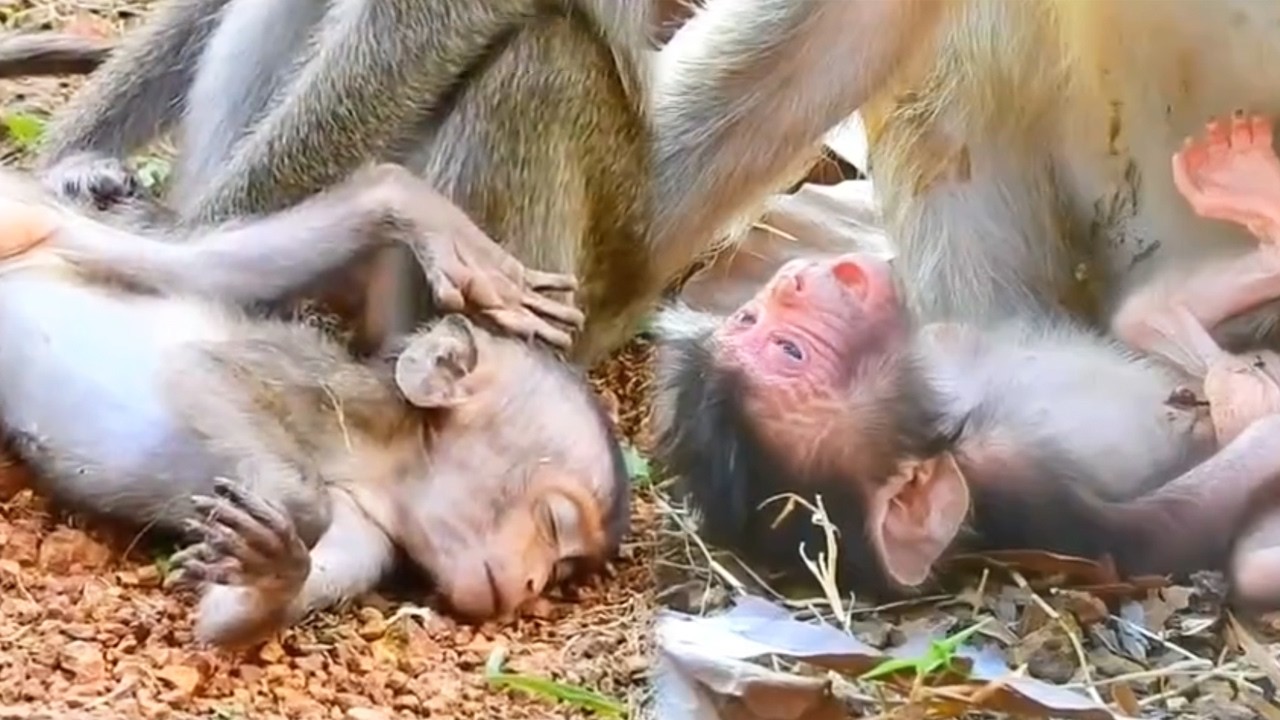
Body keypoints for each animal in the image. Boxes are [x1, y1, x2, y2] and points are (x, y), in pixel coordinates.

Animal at [0, 162, 629, 646]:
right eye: (554, 523)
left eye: (564, 568)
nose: (533, 585)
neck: (380, 475)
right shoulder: (321, 388)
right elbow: (200, 370)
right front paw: (292, 510)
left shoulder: (373, 536)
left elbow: (223, 619)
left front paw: (269, 571)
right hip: (23, 220)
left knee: (184, 263)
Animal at [650, 112, 1280, 608]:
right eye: (791, 352)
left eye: (750, 322)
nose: (791, 281)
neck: (942, 401)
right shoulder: (1009, 482)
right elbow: (1157, 529)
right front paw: (1255, 411)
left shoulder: (943, 340)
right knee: (1254, 565)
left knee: (1138, 315)